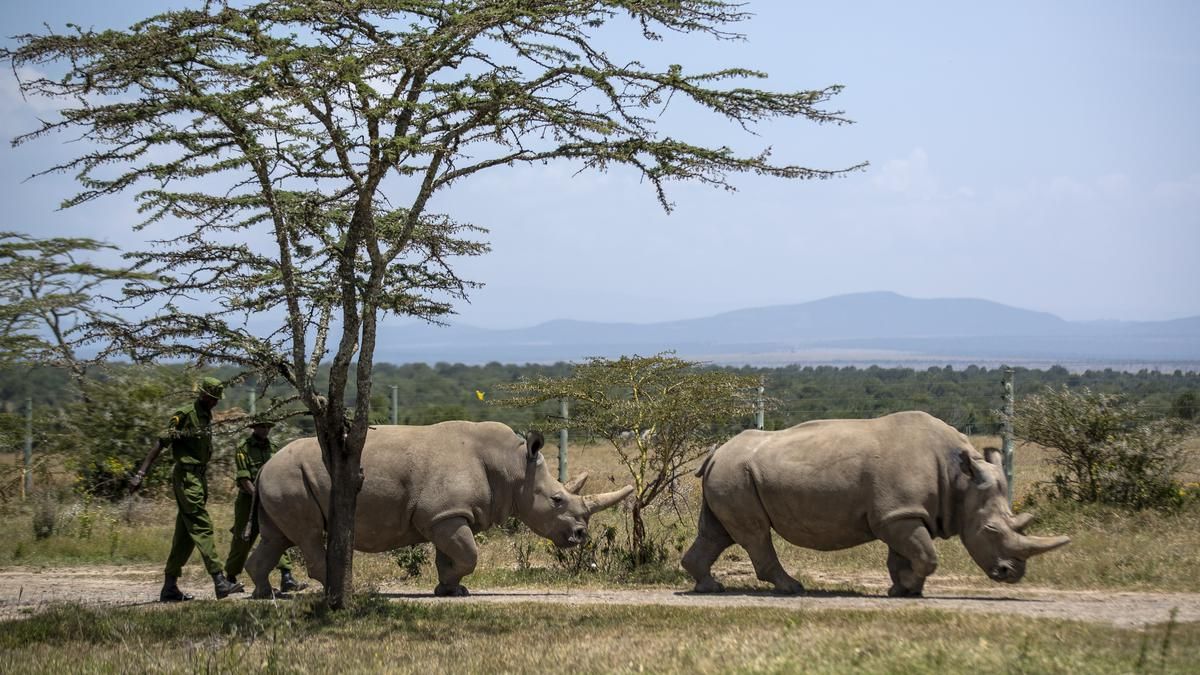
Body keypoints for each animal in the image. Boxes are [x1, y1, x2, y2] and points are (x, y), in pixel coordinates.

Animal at [246, 421, 632, 598]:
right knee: (308, 535)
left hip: (281, 478)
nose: (580, 535)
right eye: (556, 500)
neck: (512, 467)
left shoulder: (447, 515)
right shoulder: (445, 514)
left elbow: (452, 557)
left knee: (275, 538)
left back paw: (265, 594)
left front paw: (449, 591)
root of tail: (264, 466)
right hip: (289, 478)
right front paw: (451, 589)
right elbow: (470, 555)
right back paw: (344, 592)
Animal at [681, 411, 1069, 597]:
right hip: (736, 473)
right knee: (755, 534)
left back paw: (709, 587)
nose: (1010, 574)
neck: (960, 480)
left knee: (719, 533)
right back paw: (792, 588)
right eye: (990, 530)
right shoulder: (899, 514)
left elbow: (905, 556)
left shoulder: (901, 513)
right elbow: (927, 556)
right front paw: (908, 587)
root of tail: (717, 453)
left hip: (732, 473)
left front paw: (904, 590)